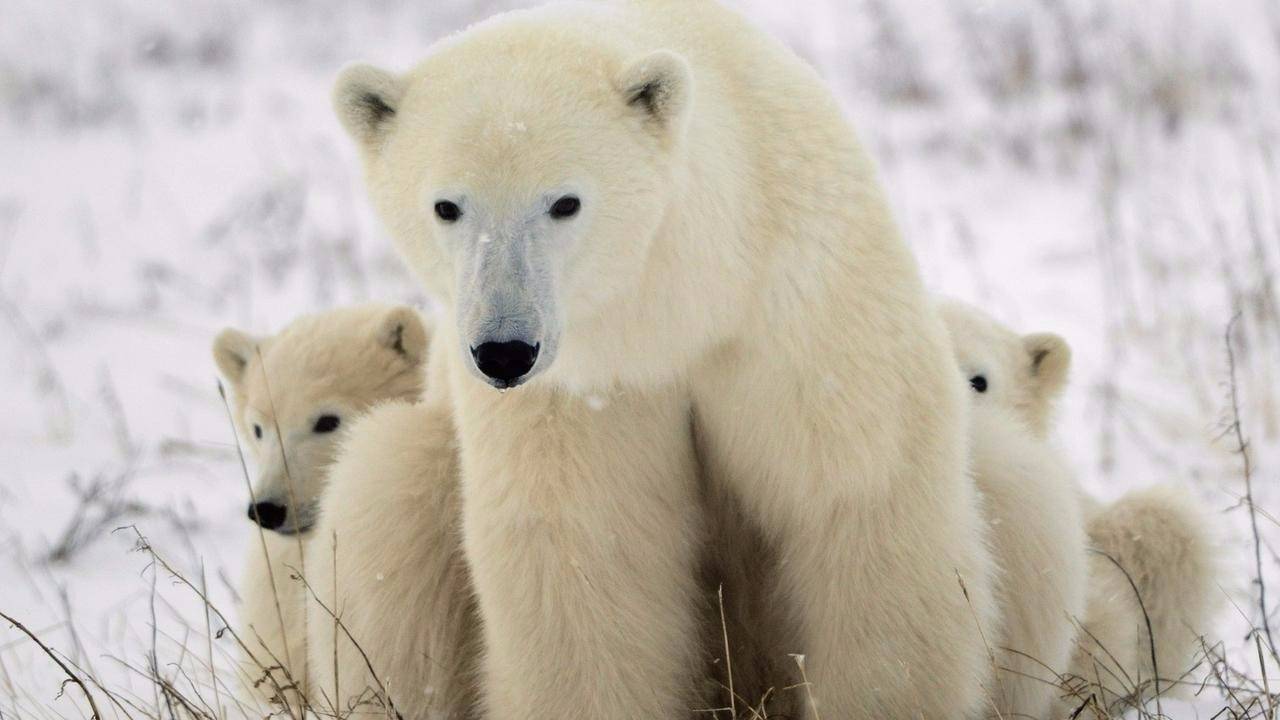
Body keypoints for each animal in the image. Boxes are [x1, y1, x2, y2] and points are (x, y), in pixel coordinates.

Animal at [330, 1, 996, 717]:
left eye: (565, 202)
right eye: (446, 206)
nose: (504, 352)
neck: (676, 313)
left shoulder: (795, 307)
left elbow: (857, 497)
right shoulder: (583, 389)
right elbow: (586, 551)